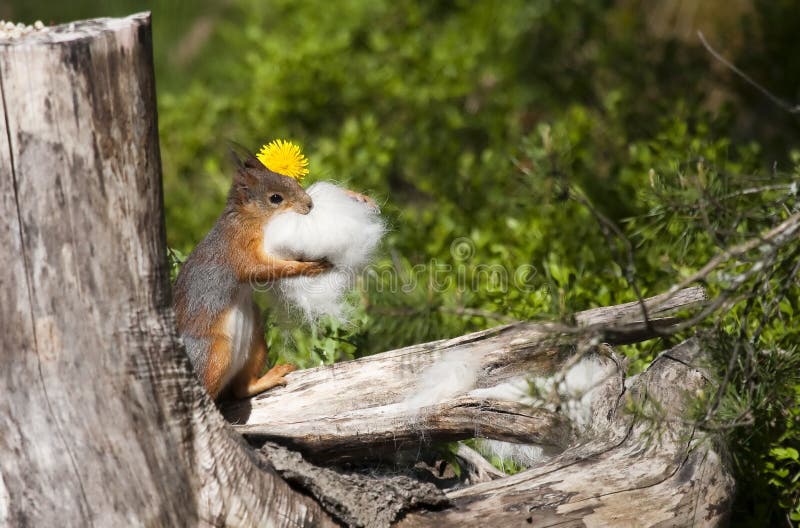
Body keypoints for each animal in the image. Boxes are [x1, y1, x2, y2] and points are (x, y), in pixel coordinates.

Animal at [173, 148, 374, 400]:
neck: (249, 218)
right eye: (275, 198)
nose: (310, 204)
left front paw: (358, 196)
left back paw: (268, 378)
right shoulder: (238, 249)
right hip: (213, 353)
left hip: (255, 341)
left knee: (242, 389)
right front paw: (308, 266)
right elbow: (262, 269)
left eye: (291, 180)